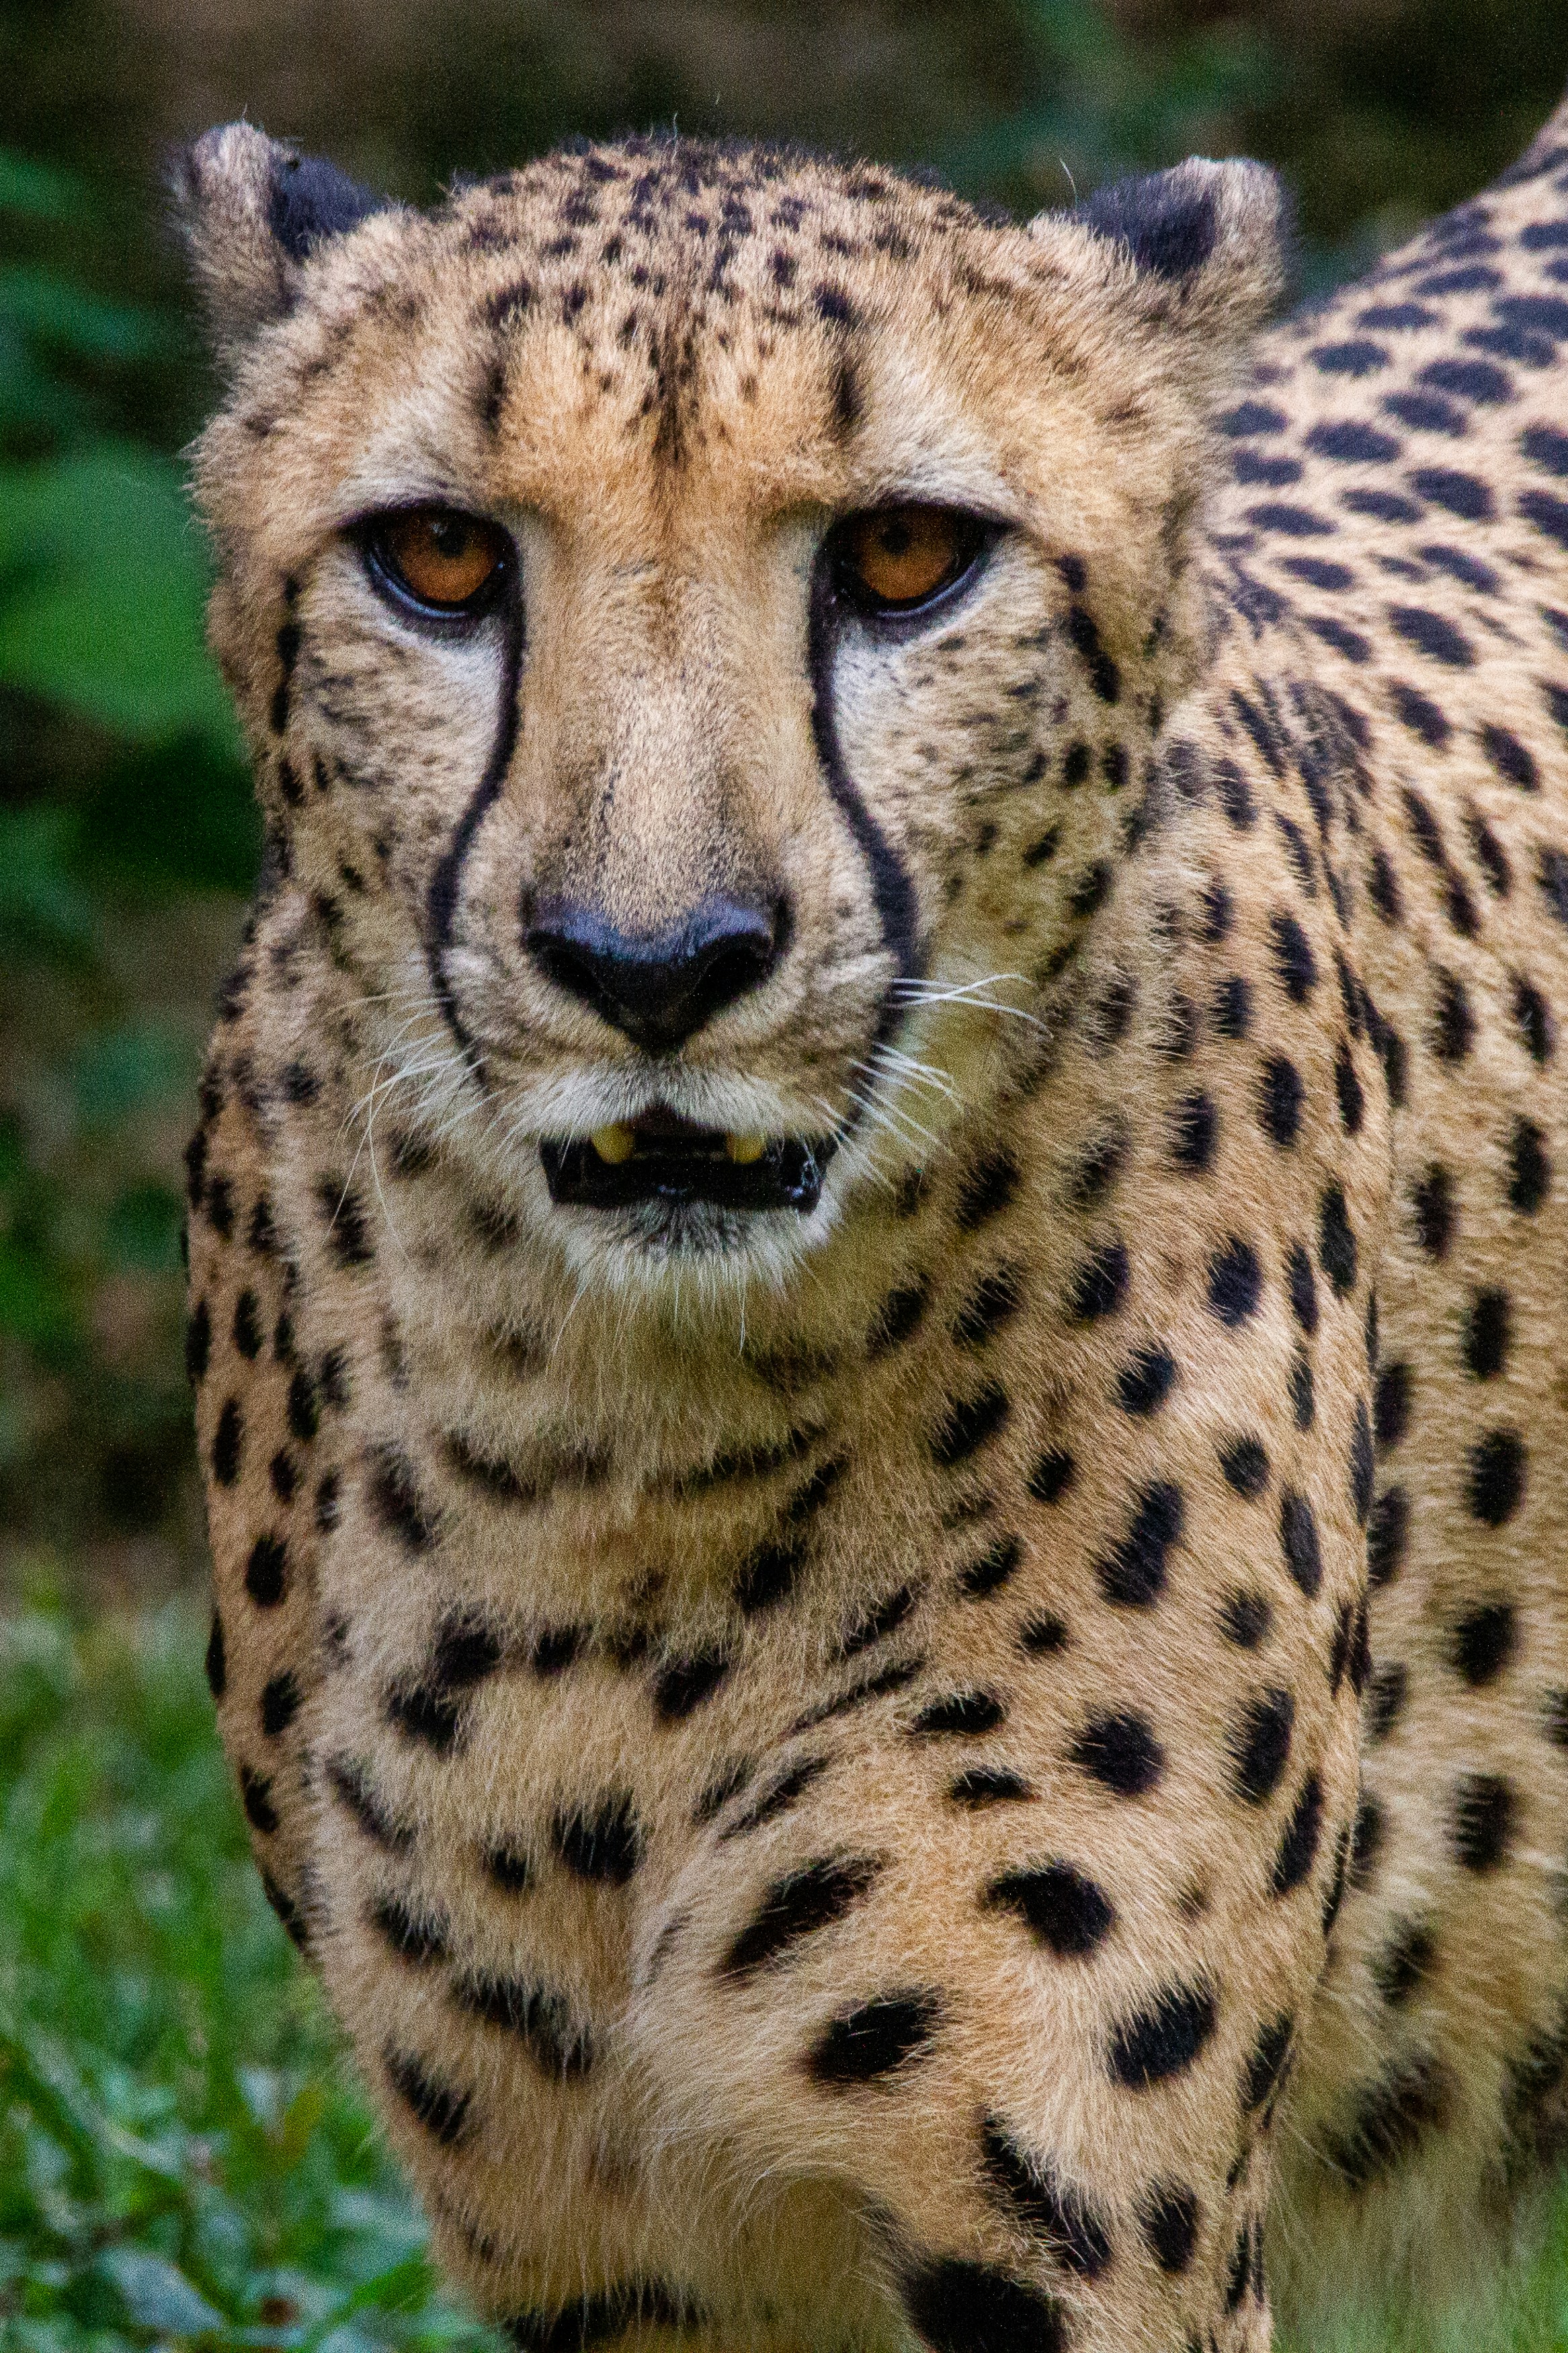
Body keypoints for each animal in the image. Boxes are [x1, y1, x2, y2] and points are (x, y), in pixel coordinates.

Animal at [171, 91, 1568, 2353]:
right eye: (439, 557)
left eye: (906, 557)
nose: (653, 963)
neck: (619, 1467)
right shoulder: (617, 2252)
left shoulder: (1079, 2227)